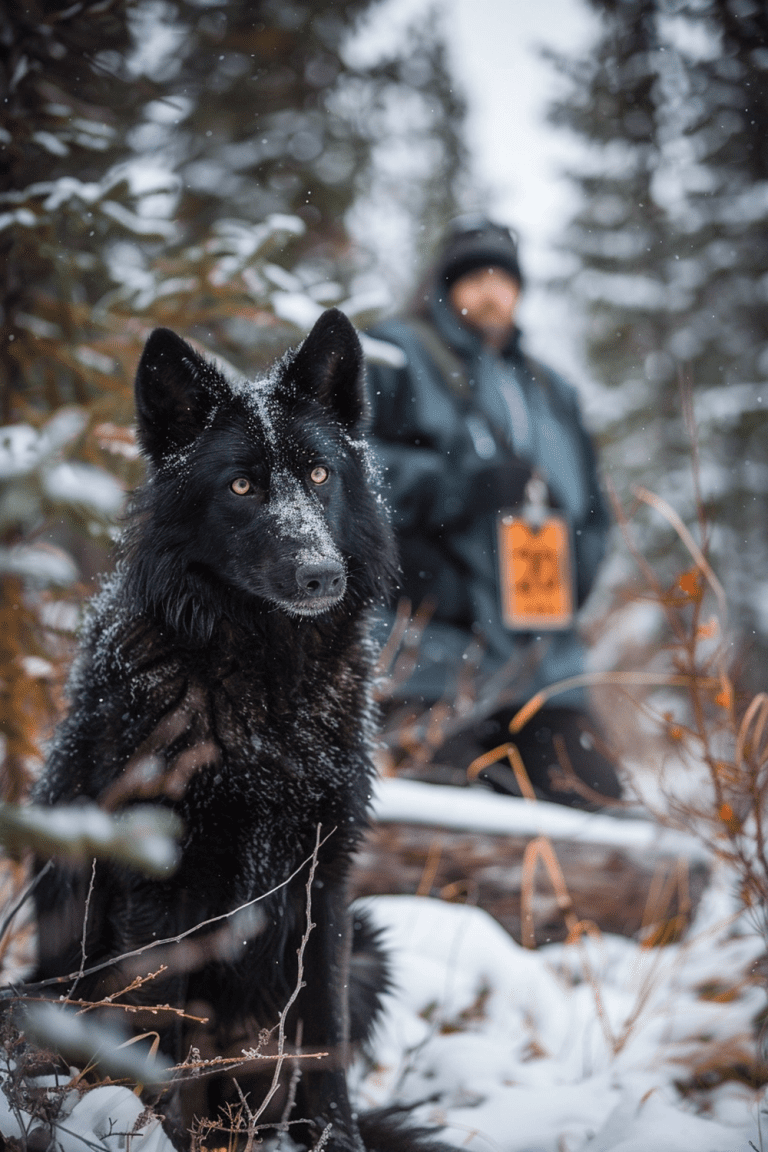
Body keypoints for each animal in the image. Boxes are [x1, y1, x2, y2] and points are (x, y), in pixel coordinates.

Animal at [31, 310, 444, 1152]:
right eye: (242, 486)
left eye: (319, 475)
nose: (321, 575)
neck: (266, 689)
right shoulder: (160, 888)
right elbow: (160, 1037)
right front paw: (154, 1134)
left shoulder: (324, 887)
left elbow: (323, 1043)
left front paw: (337, 1143)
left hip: (369, 946)